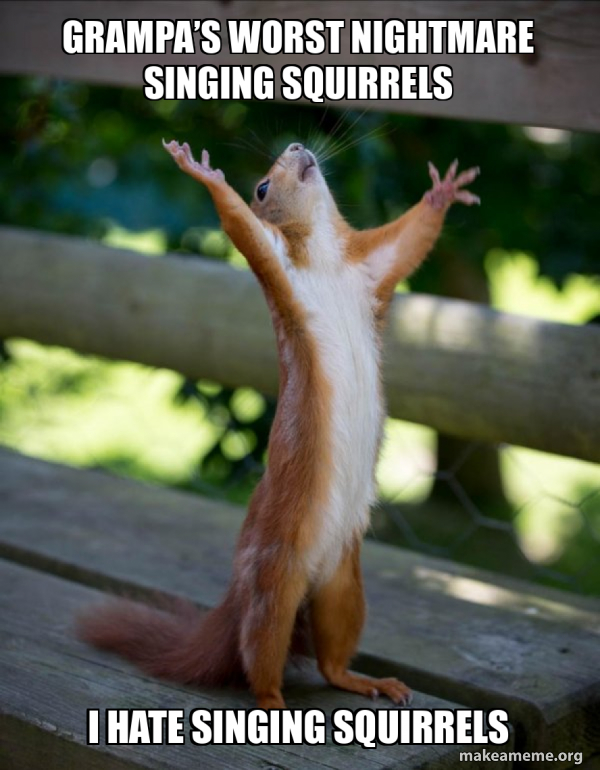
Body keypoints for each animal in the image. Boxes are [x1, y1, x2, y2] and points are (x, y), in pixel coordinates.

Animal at [78, 139, 479, 710]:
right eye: (262, 187)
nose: (296, 146)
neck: (327, 258)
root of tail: (238, 596)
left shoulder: (372, 267)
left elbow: (410, 240)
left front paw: (442, 192)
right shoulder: (277, 264)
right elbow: (240, 225)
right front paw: (204, 173)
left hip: (344, 586)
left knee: (332, 659)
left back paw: (366, 680)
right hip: (274, 583)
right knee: (258, 655)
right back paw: (274, 701)